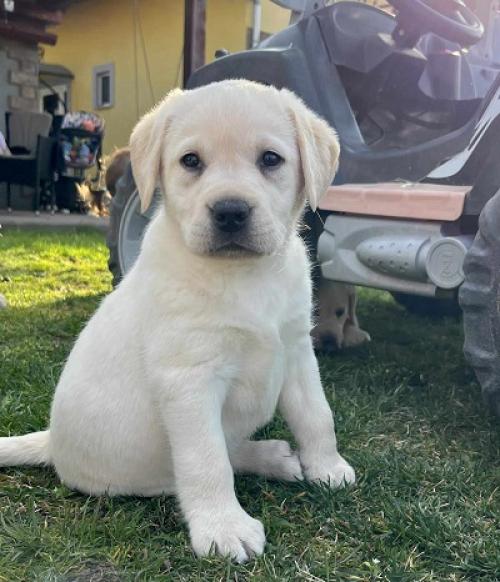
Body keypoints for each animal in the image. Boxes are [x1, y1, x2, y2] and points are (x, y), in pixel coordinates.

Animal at [1, 80, 358, 564]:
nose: (230, 211)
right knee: (202, 463)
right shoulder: (189, 379)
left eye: (271, 159)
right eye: (191, 161)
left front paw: (327, 466)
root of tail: (52, 442)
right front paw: (223, 528)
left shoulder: (297, 351)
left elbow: (317, 415)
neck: (244, 276)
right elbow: (206, 459)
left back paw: (274, 457)